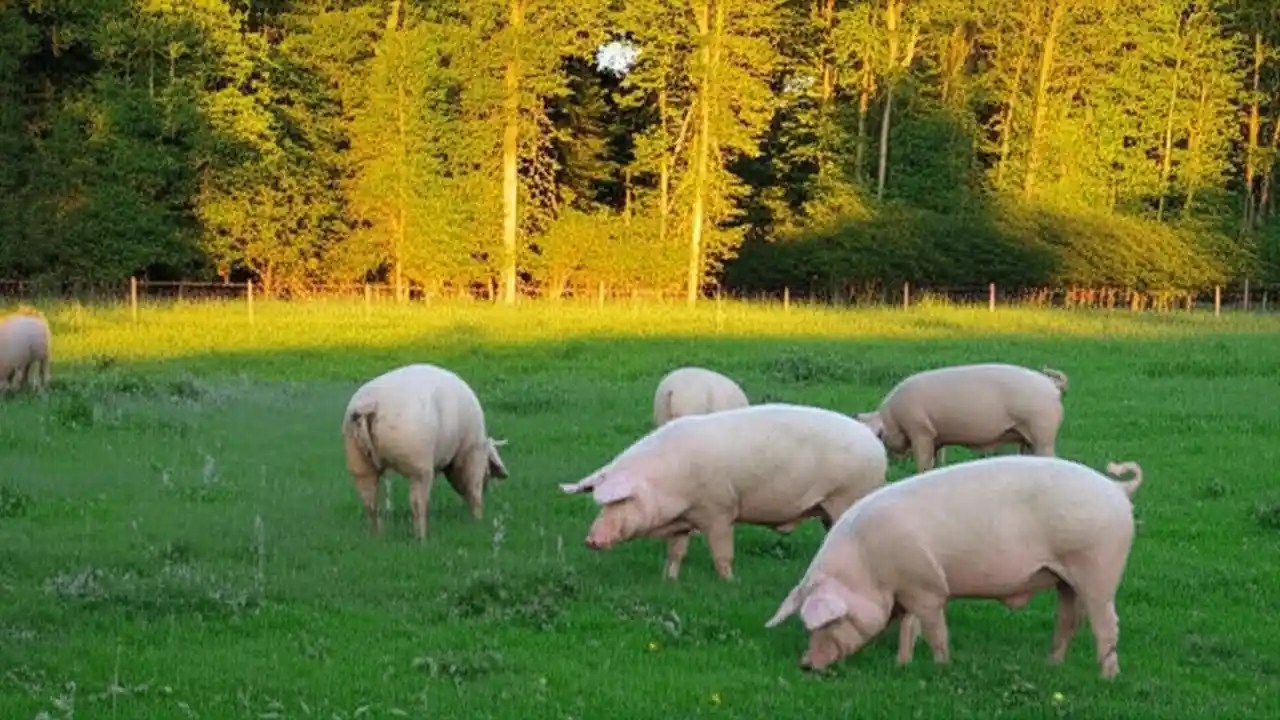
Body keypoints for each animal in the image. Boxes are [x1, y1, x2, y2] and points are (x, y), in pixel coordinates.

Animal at [341, 363, 509, 539]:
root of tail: (370, 403)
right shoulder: (472, 454)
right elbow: (473, 491)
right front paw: (478, 522)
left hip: (358, 461)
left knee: (370, 503)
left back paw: (377, 537)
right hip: (418, 462)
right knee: (417, 502)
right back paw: (422, 538)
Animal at [559, 403, 888, 581]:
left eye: (621, 501)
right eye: (602, 505)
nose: (590, 539)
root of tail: (875, 445)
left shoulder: (719, 509)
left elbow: (721, 552)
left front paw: (731, 582)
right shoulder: (684, 520)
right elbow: (675, 552)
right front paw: (669, 581)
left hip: (849, 495)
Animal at [764, 456, 1145, 680]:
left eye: (830, 621)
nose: (805, 665)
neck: (868, 567)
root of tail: (1117, 488)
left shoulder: (927, 587)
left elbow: (934, 629)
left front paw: (941, 666)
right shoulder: (906, 586)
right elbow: (908, 627)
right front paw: (902, 664)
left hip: (1098, 566)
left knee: (1107, 623)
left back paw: (1108, 677)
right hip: (1065, 577)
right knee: (1069, 620)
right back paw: (1051, 665)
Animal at [855, 363, 1068, 473]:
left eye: (879, 434)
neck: (894, 418)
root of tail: (1051, 385)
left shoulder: (920, 431)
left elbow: (923, 464)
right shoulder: (937, 438)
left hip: (1043, 431)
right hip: (1027, 439)